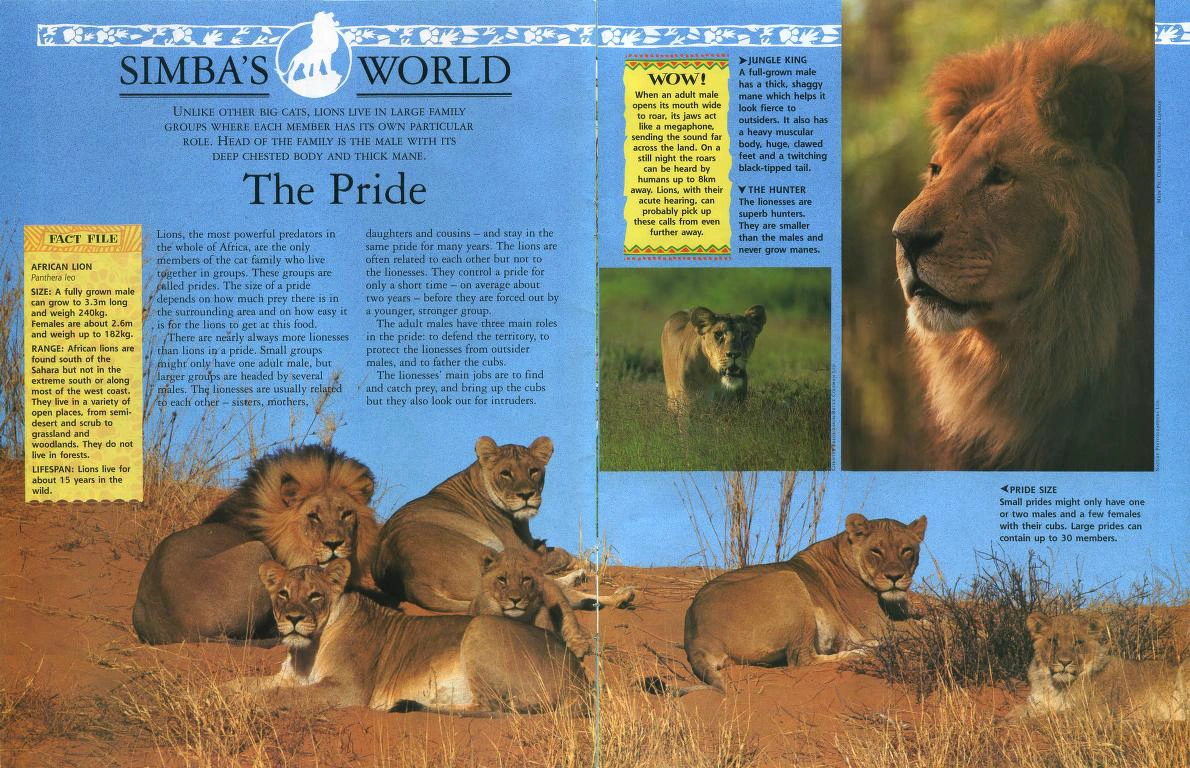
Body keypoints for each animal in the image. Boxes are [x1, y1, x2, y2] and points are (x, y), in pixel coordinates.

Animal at [229, 560, 588, 715]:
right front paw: (220, 693)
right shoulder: (287, 678)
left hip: (479, 628)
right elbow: (237, 684)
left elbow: (282, 697)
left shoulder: (347, 690)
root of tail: (581, 678)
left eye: (315, 596)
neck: (306, 651)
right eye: (283, 594)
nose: (293, 619)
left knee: (492, 708)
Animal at [372, 436, 634, 633]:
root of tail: (411, 580)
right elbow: (560, 553)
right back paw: (621, 595)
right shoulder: (525, 554)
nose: (526, 495)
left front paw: (582, 567)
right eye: (506, 473)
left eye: (534, 471)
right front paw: (581, 564)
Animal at [683, 513, 926, 692]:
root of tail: (696, 638)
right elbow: (923, 627)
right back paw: (859, 653)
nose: (895, 577)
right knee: (802, 659)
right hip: (789, 579)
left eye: (907, 550)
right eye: (876, 551)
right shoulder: (876, 625)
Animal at [1016, 612, 1188, 720]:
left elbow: (1055, 714)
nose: (1064, 662)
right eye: (1053, 641)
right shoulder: (1037, 703)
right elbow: (1018, 711)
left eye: (1078, 642)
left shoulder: (1094, 712)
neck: (1057, 686)